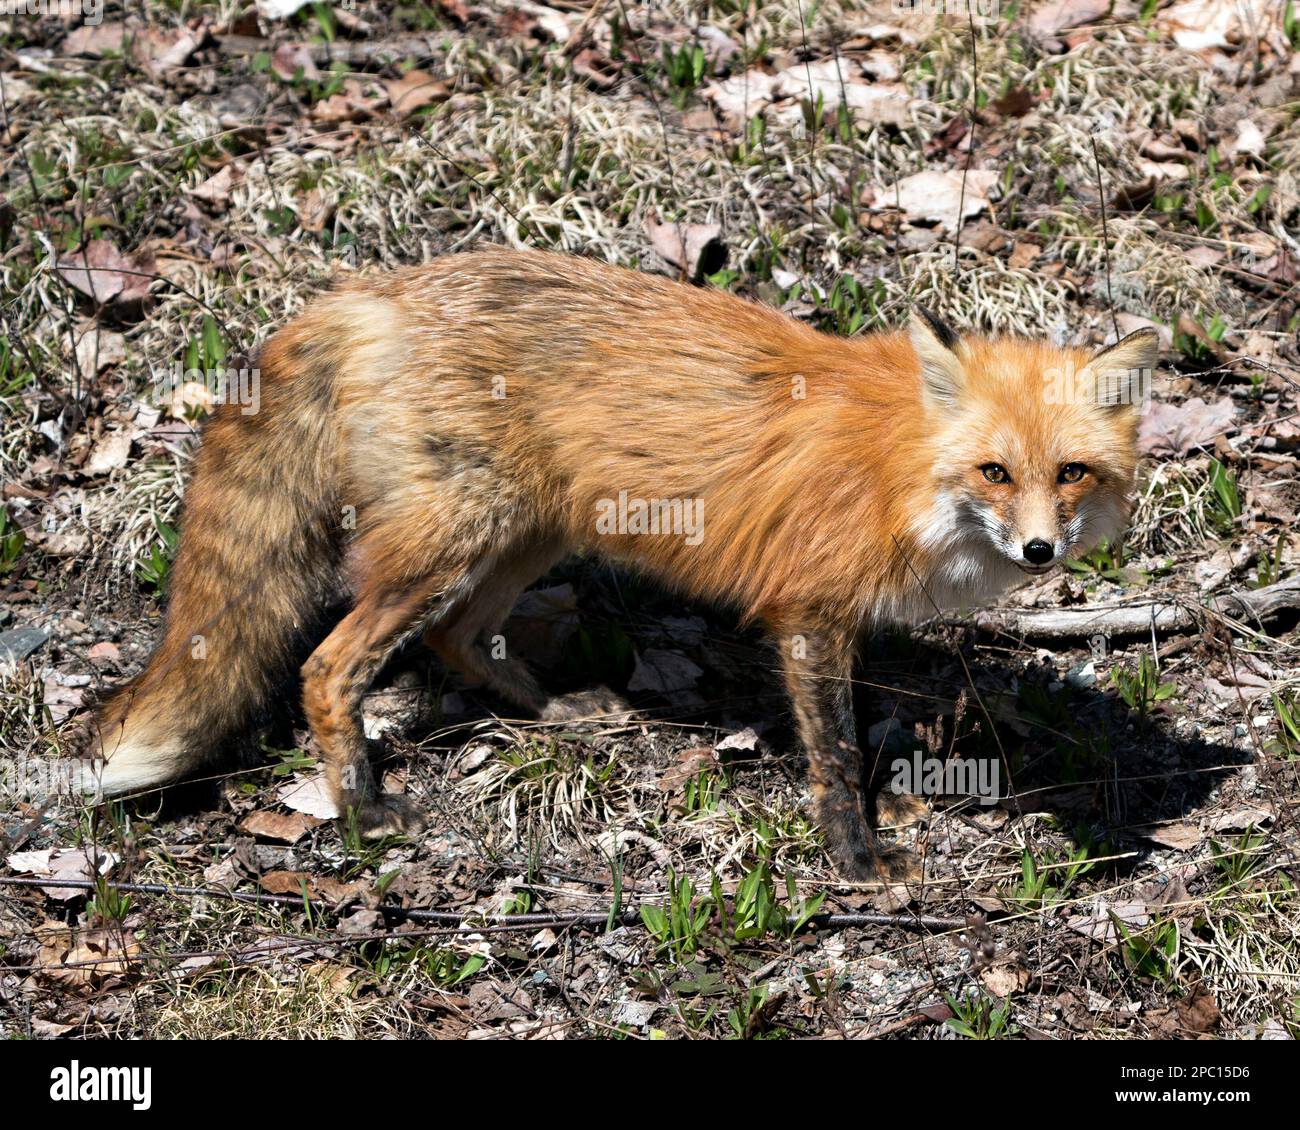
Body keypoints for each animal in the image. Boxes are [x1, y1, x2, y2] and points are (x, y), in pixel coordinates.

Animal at [77, 246, 1156, 882]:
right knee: (326, 666)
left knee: (462, 636)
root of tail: (366, 294)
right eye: (994, 471)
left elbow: (859, 741)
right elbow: (836, 752)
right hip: (453, 539)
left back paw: (559, 713)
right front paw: (854, 857)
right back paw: (368, 810)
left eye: (1069, 473)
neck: (899, 471)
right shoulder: (810, 615)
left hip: (528, 531)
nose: (1039, 549)